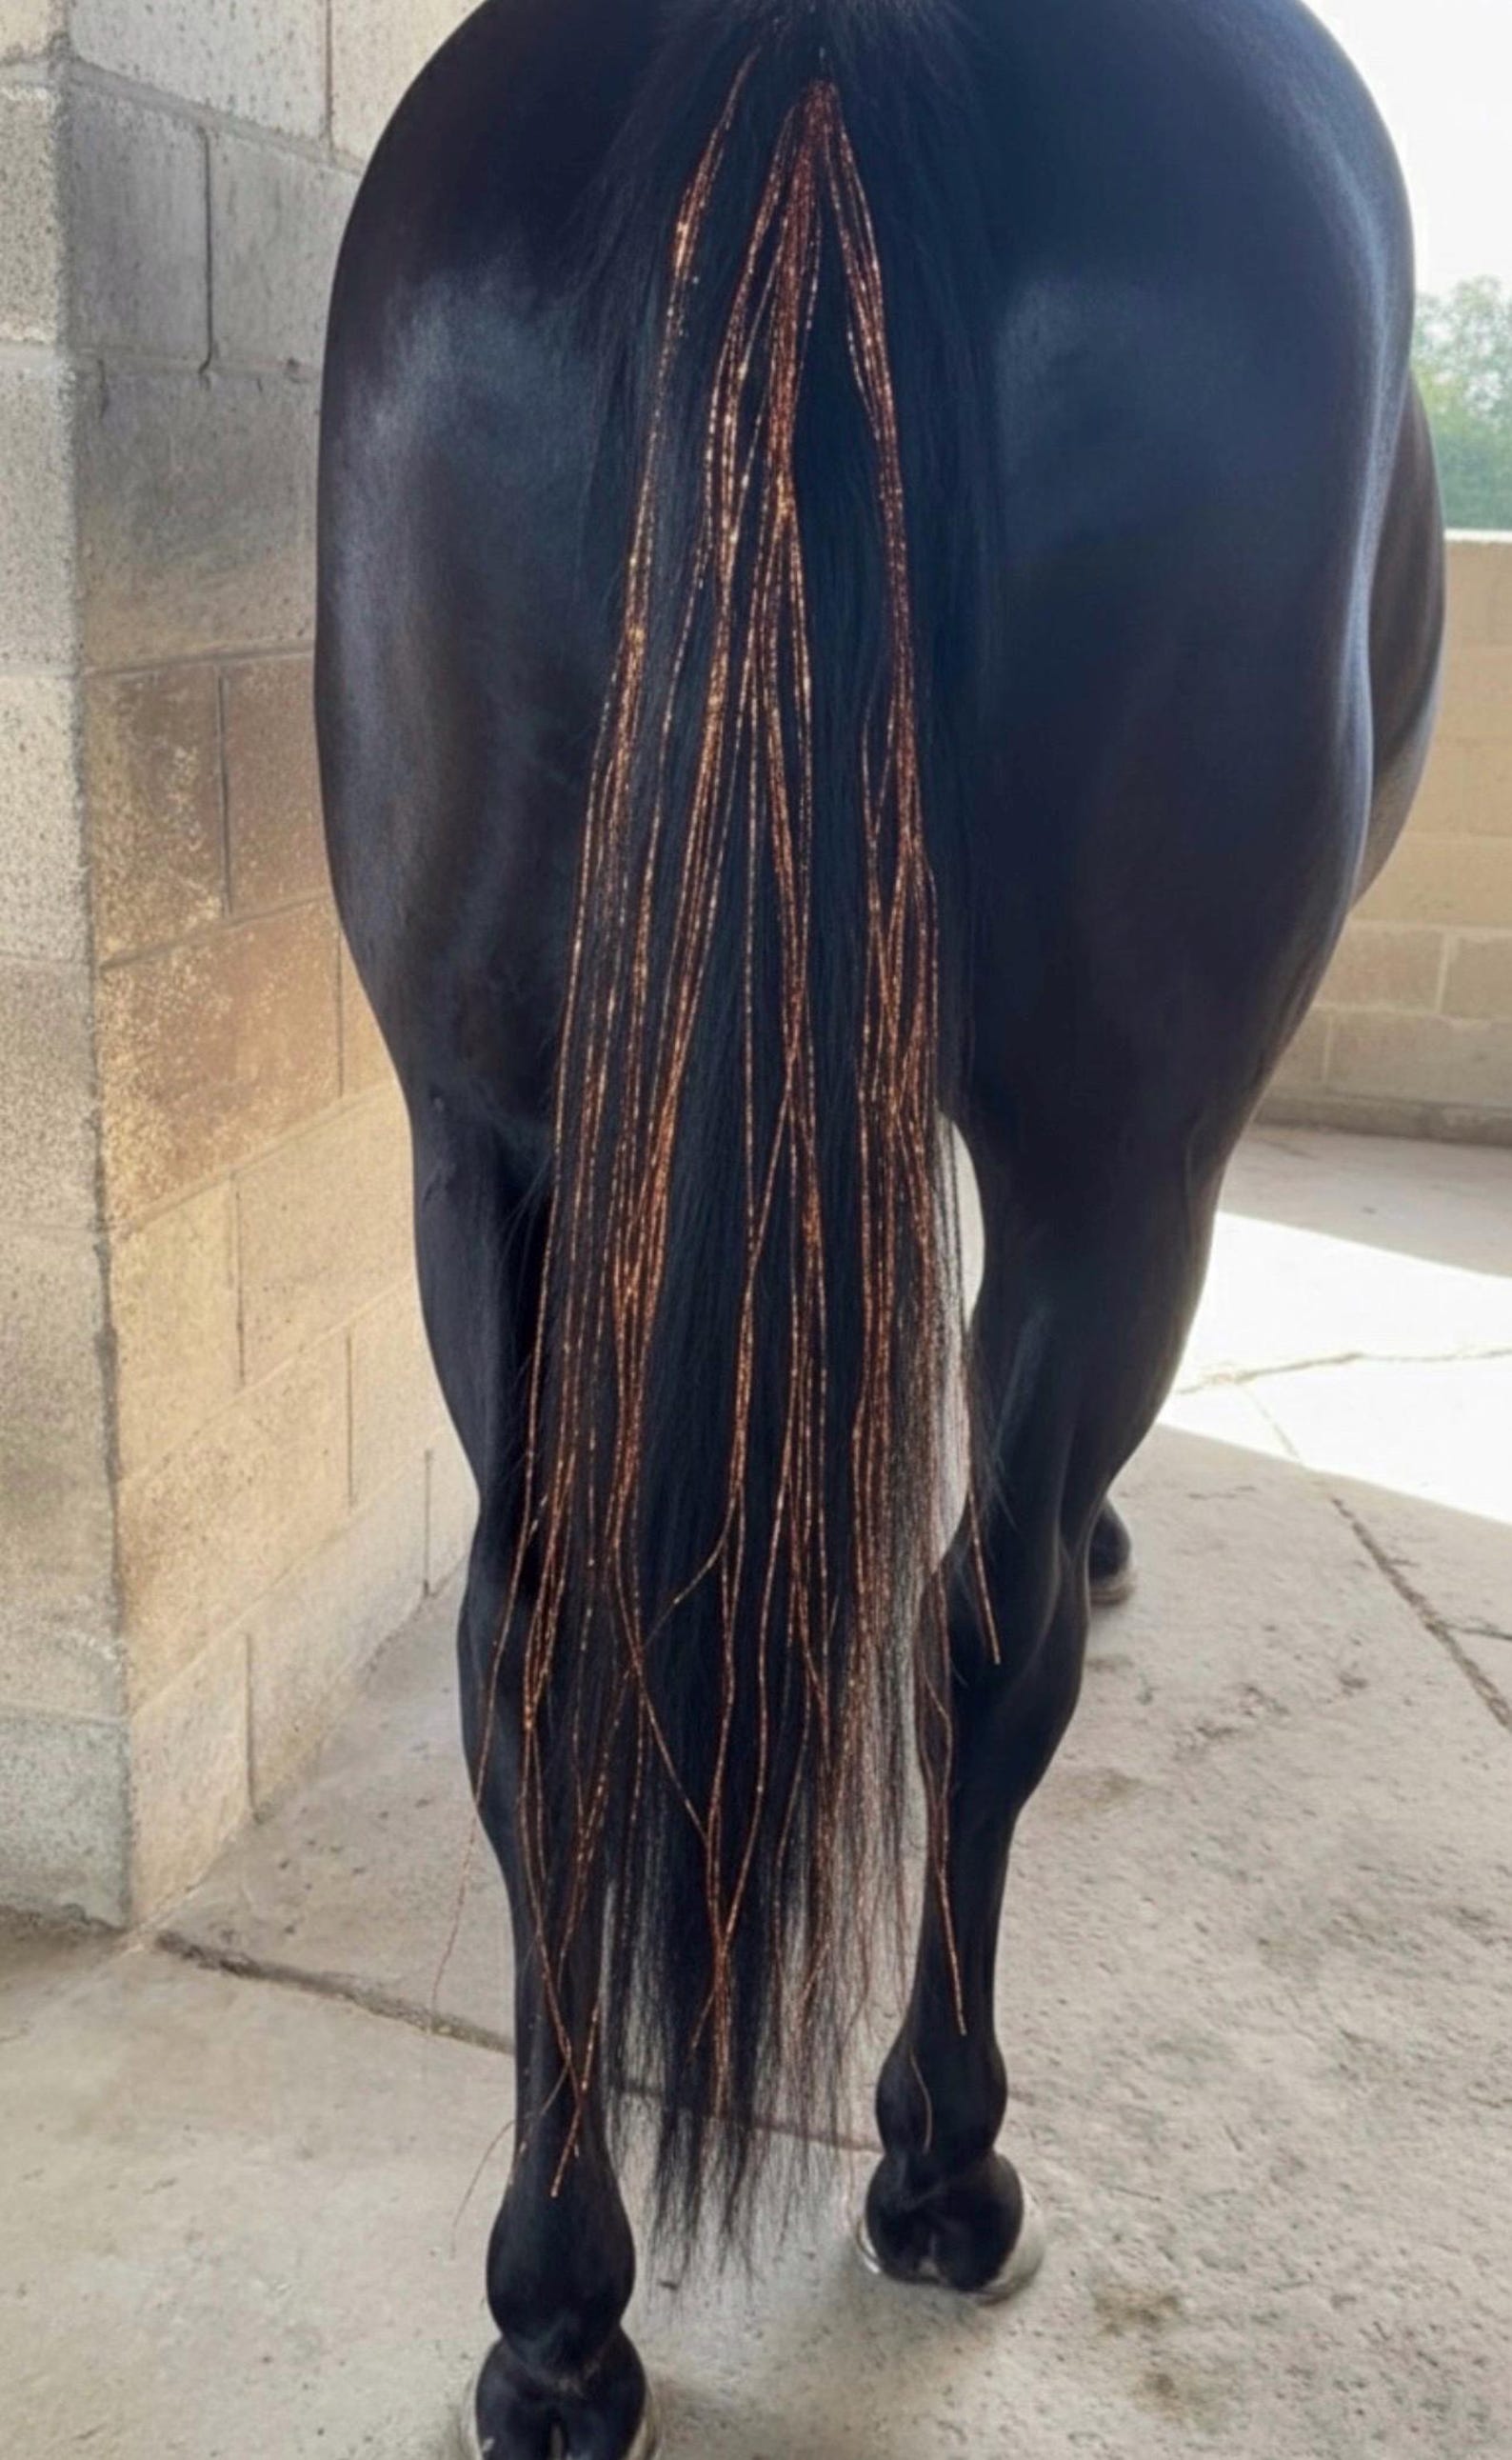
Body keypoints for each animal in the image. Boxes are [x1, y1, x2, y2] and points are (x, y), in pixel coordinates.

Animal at [315, 2, 1444, 2451]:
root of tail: (824, 47)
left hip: (490, 1132)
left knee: (531, 1659)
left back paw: (559, 2315)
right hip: (1118, 1152)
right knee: (972, 1627)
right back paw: (940, 2160)